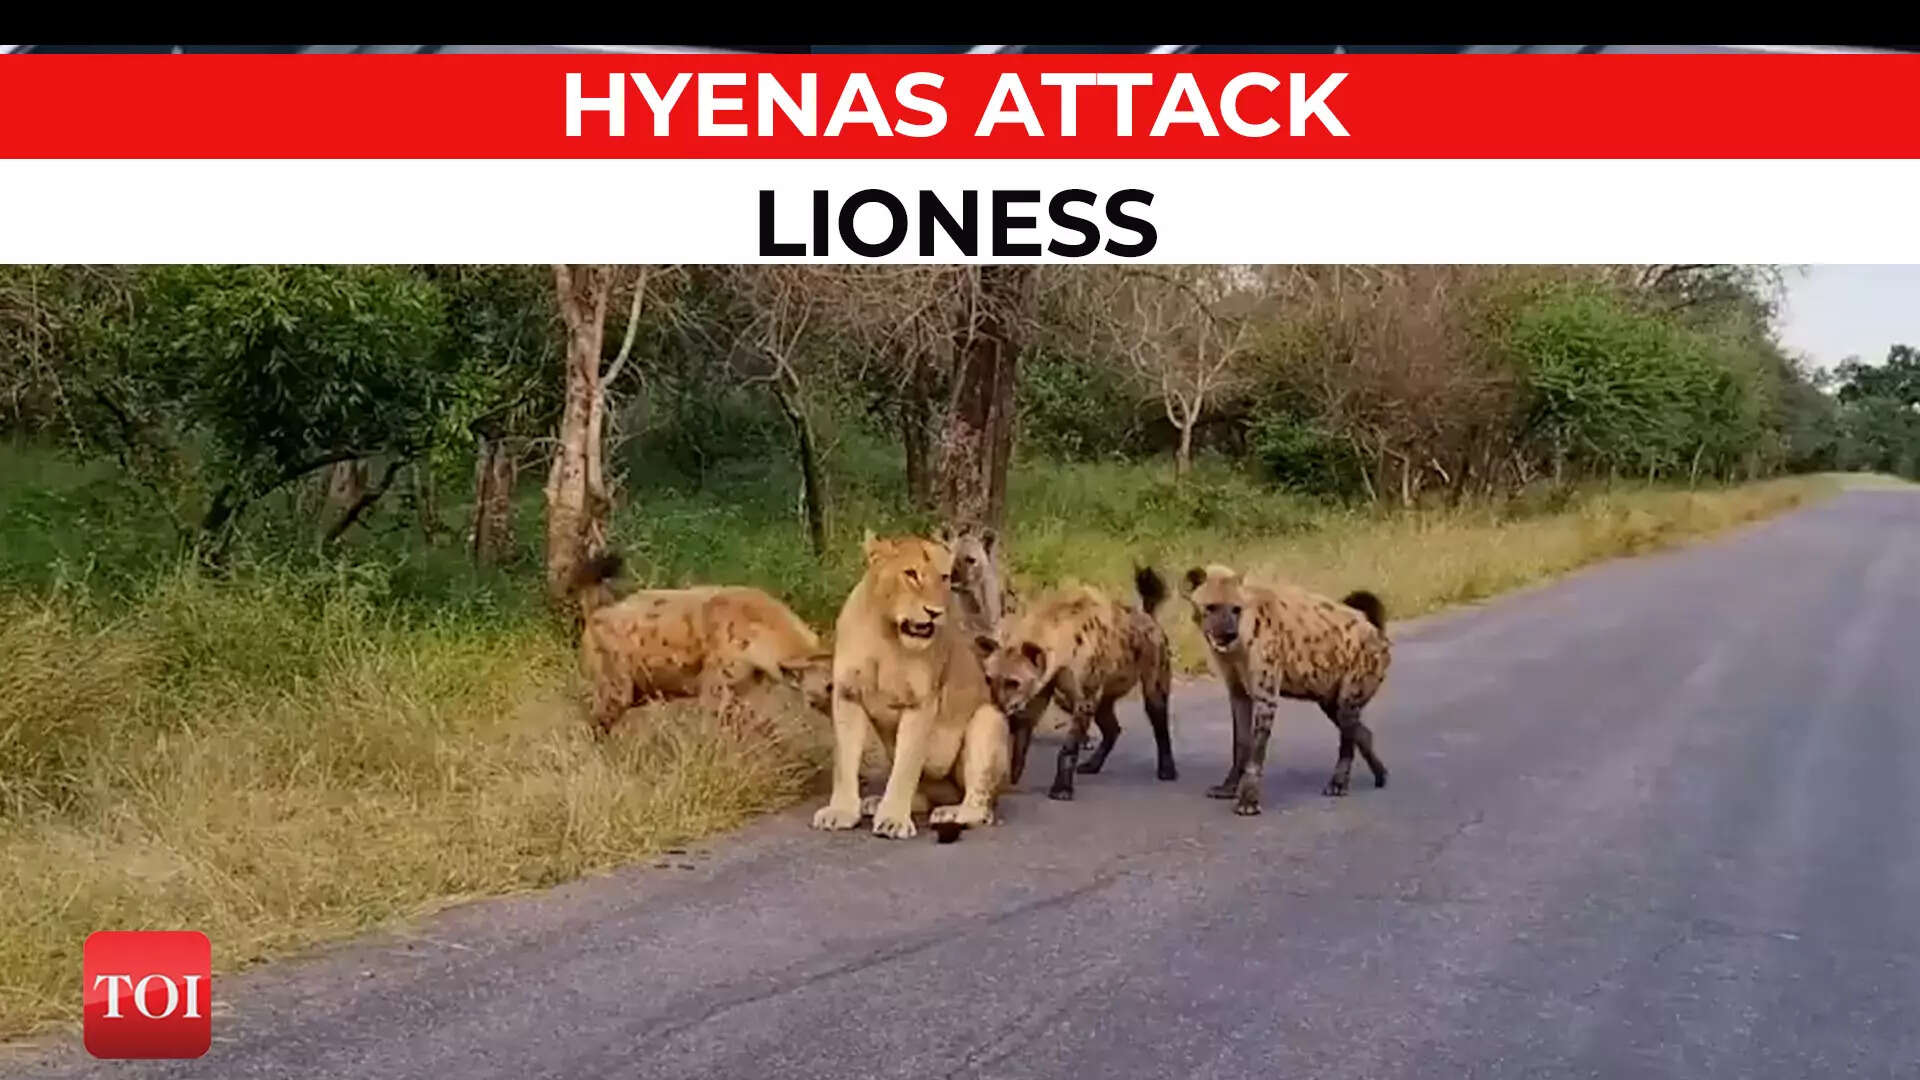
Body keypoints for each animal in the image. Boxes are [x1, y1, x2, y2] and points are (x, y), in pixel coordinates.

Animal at [571, 553, 834, 736]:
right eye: (830, 686)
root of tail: (595, 613)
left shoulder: (744, 686)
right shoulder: (717, 686)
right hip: (615, 685)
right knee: (593, 723)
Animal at [810, 531, 1010, 840]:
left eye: (944, 577)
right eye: (911, 574)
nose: (935, 612)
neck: (886, 635)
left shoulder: (920, 704)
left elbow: (906, 767)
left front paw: (893, 819)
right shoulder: (847, 695)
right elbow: (845, 762)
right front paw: (841, 812)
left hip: (987, 718)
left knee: (982, 808)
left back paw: (950, 812)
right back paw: (875, 803)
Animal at [974, 566, 1176, 800]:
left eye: (1013, 682)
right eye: (989, 678)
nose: (996, 706)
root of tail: (1149, 617)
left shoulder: (1084, 695)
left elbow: (1069, 746)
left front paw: (1061, 789)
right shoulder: (1044, 688)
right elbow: (1024, 730)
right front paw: (1013, 776)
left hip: (1154, 671)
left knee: (1158, 715)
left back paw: (1167, 769)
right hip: (1097, 696)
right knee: (1112, 727)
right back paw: (1091, 765)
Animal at [1183, 564, 1391, 816]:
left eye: (1236, 609)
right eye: (1210, 607)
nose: (1228, 633)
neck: (1237, 649)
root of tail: (1375, 629)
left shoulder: (1266, 692)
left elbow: (1257, 748)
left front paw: (1248, 800)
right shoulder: (1237, 689)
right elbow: (1240, 742)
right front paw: (1228, 788)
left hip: (1353, 683)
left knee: (1347, 728)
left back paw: (1338, 783)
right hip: (1327, 696)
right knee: (1359, 729)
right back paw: (1380, 773)